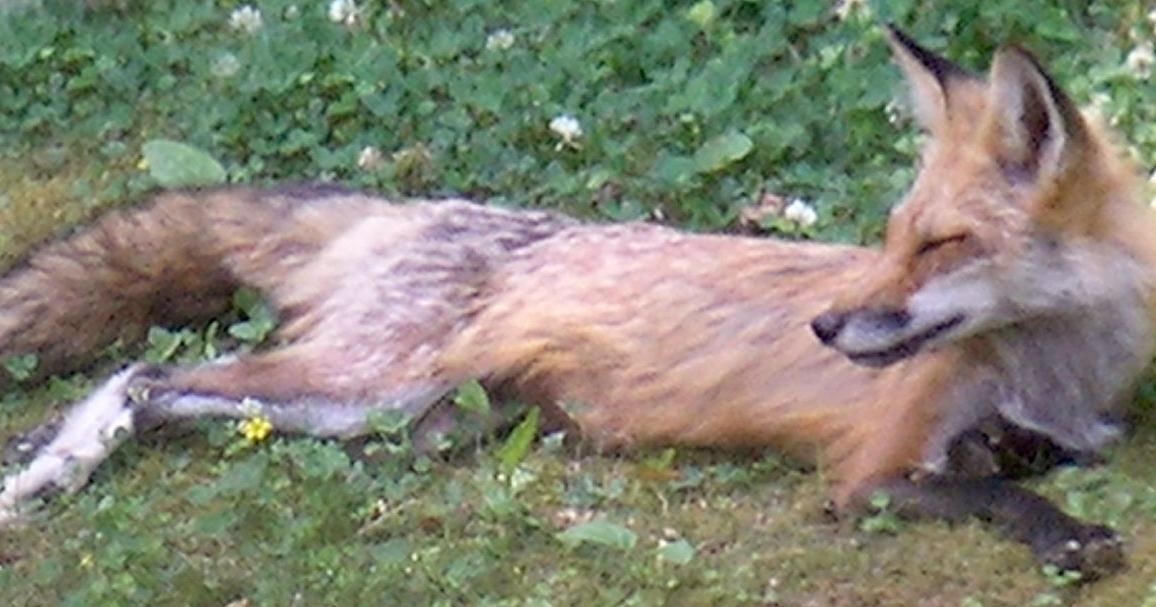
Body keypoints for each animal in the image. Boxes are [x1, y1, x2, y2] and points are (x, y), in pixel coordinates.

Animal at [0, 27, 1152, 578]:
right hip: (363, 379)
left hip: (384, 414)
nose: (825, 327)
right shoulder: (868, 473)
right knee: (141, 372)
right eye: (894, 236)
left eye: (942, 243)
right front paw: (1066, 536)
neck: (1048, 368)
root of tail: (405, 206)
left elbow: (1017, 462)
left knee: (183, 397)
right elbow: (995, 493)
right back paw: (49, 466)